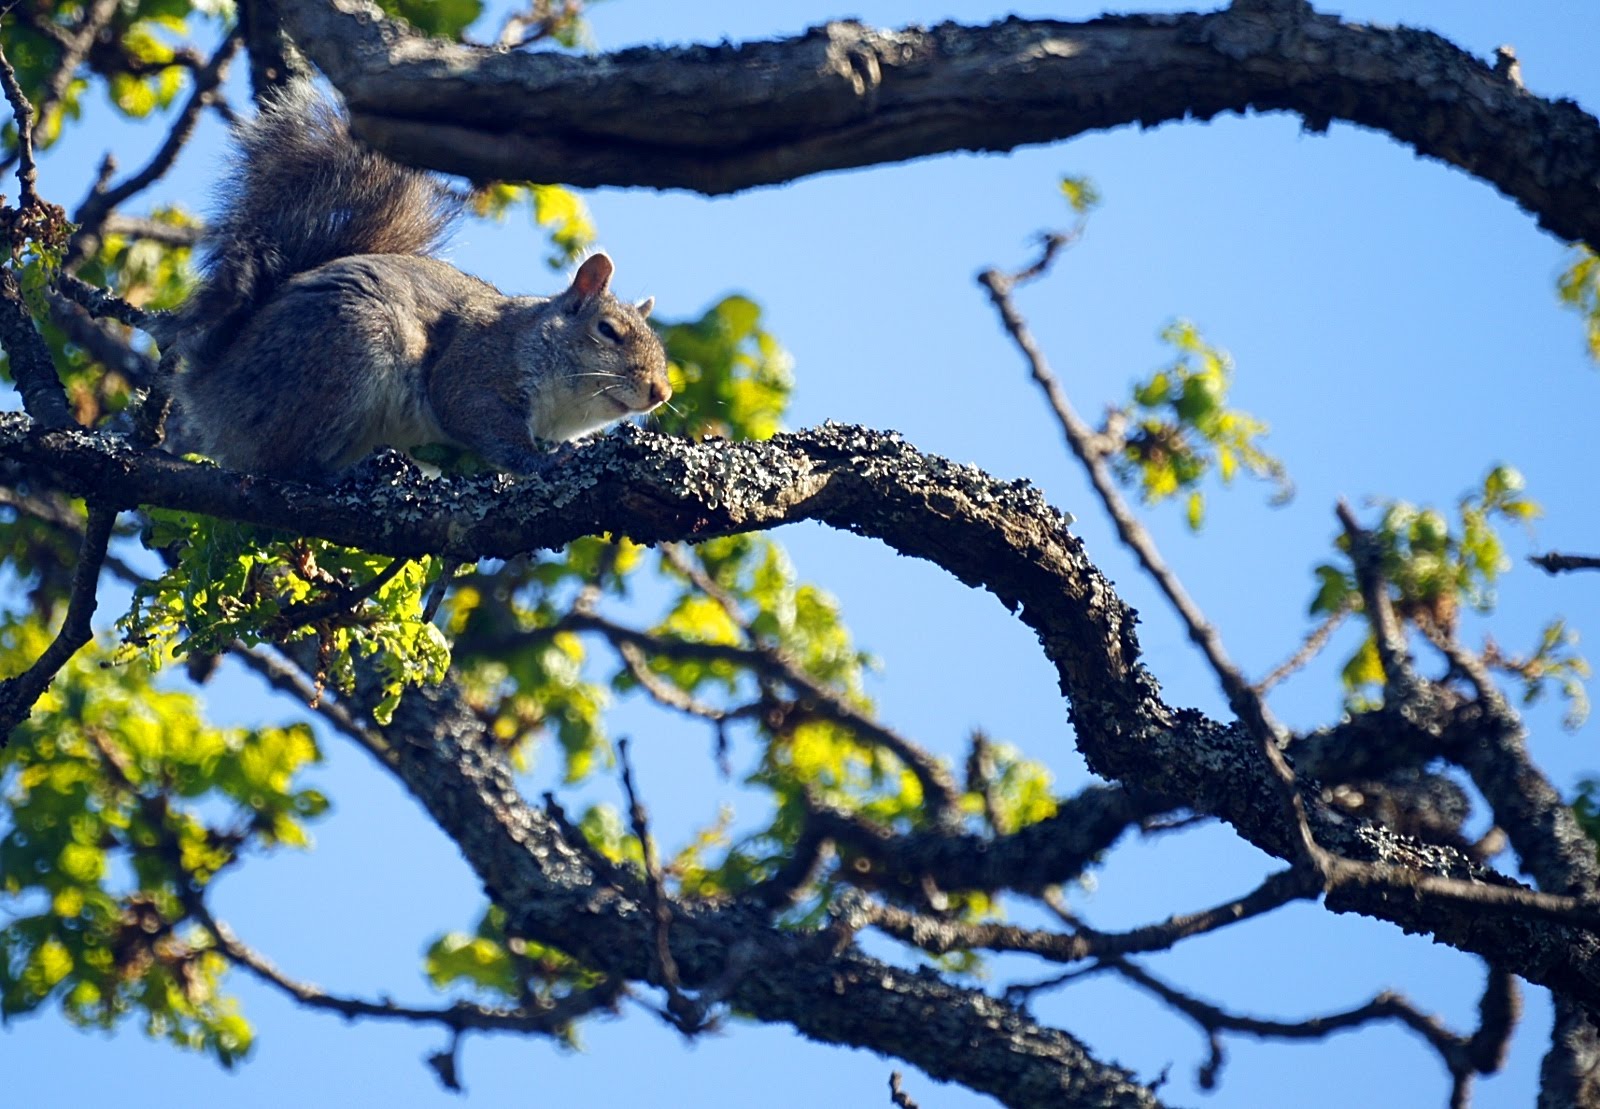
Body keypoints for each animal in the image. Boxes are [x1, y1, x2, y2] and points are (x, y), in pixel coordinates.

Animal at [163, 82, 671, 479]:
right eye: (608, 330)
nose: (661, 392)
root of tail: (213, 392)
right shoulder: (475, 365)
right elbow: (478, 417)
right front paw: (541, 462)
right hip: (344, 351)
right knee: (281, 462)